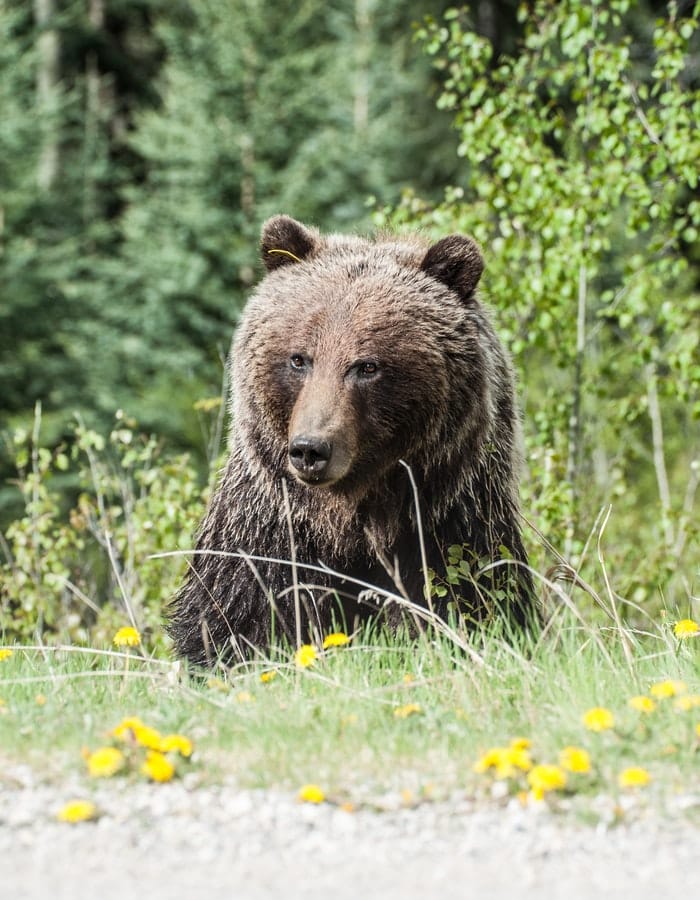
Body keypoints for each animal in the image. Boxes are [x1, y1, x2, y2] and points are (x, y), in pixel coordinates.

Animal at [168, 215, 535, 665]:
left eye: (367, 366)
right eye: (299, 359)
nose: (310, 449)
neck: (351, 519)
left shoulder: (449, 524)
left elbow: (470, 601)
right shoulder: (270, 531)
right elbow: (236, 617)